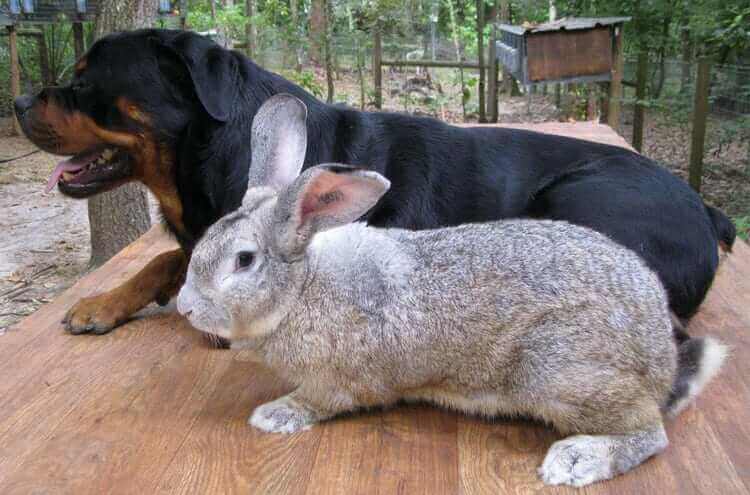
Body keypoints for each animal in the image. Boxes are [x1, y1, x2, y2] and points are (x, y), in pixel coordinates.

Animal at [176, 94, 727, 487]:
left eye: (243, 261)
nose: (185, 308)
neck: (302, 287)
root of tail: (661, 357)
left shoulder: (335, 383)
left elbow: (319, 401)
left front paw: (274, 415)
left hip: (559, 370)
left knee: (649, 433)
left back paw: (576, 461)